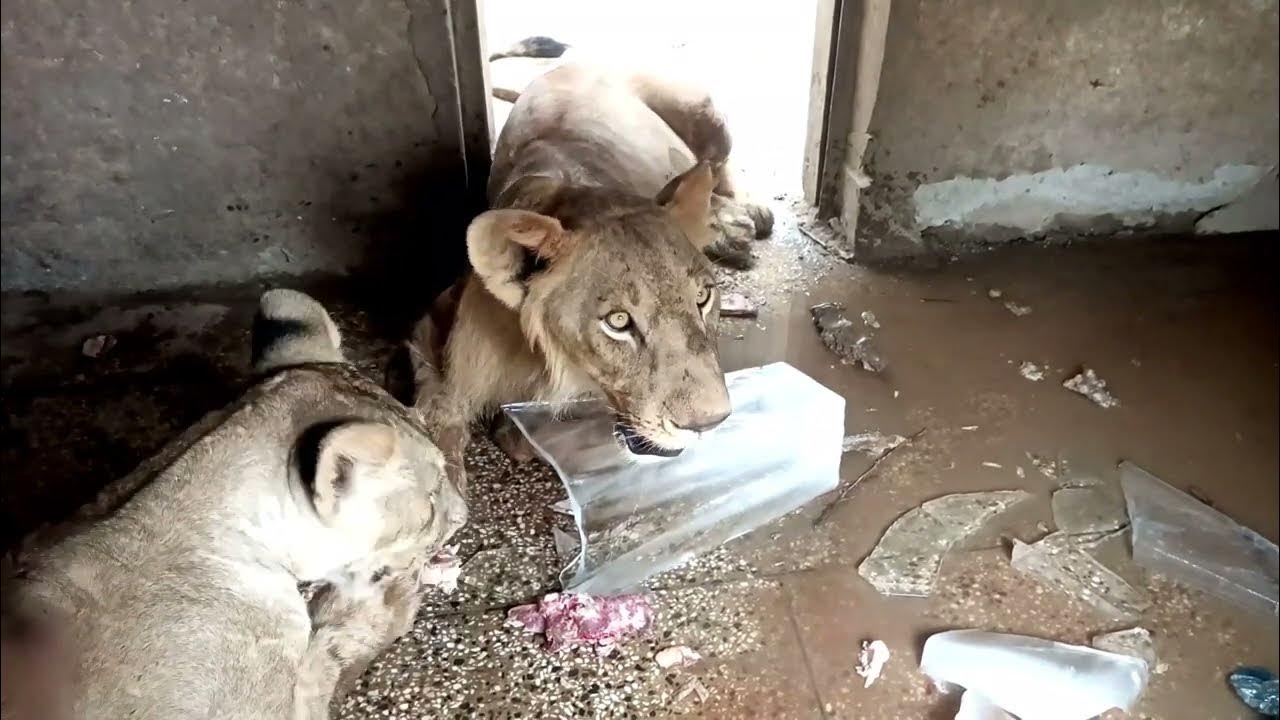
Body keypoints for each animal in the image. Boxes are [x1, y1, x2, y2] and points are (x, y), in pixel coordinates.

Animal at [411, 56, 773, 493]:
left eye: (702, 299)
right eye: (617, 321)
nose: (710, 423)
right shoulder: (437, 323)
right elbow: (439, 413)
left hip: (702, 113)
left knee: (717, 169)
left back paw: (747, 218)